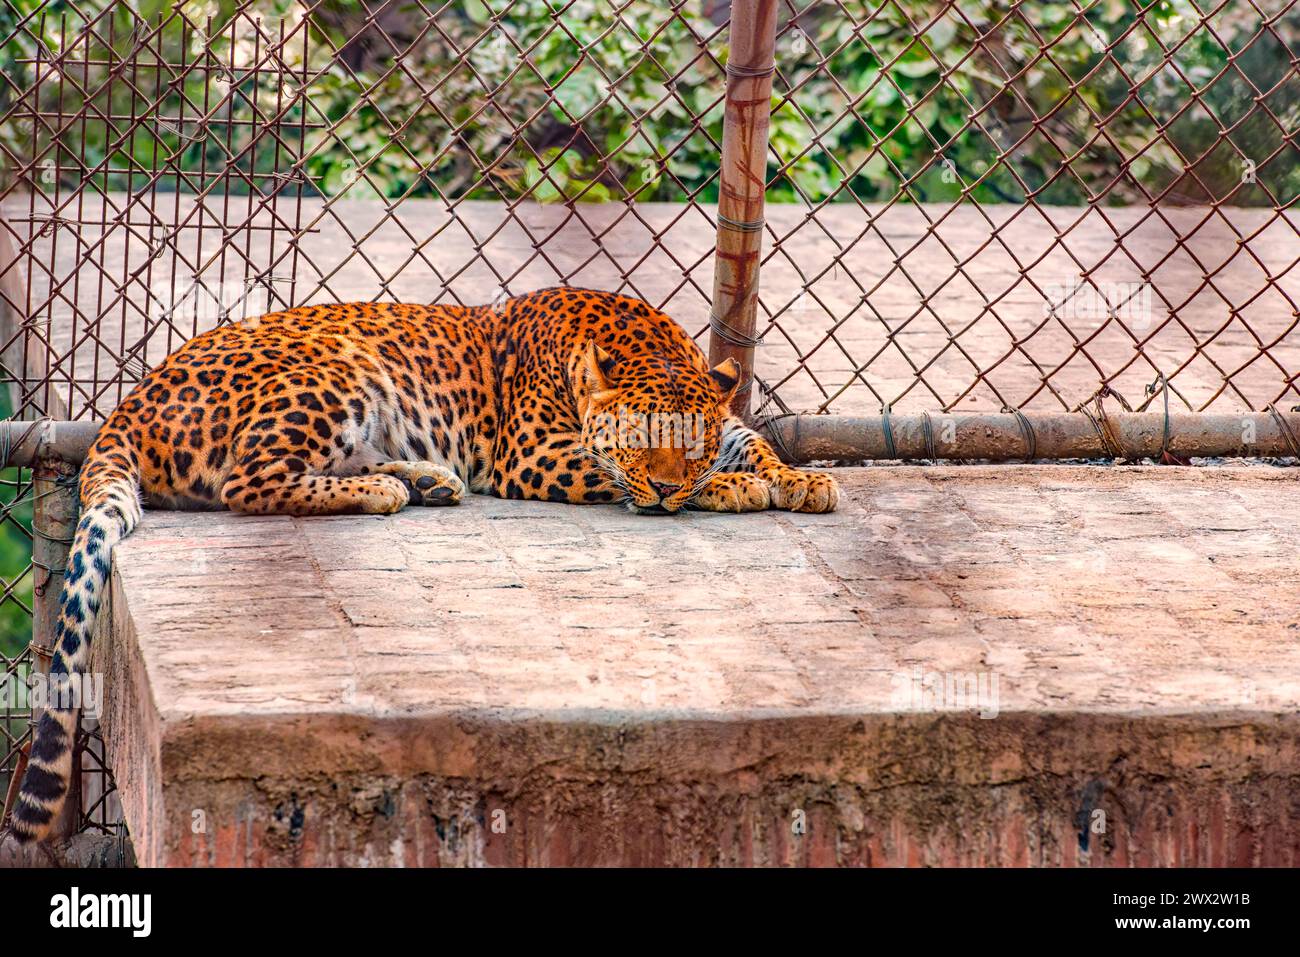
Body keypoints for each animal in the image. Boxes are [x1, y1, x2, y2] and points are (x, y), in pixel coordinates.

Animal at [6, 286, 837, 844]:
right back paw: (390, 489)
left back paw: (427, 478)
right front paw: (730, 488)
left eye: (687, 442)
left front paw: (797, 479)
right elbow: (628, 474)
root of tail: (125, 406)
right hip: (333, 370)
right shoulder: (533, 455)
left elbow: (749, 436)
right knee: (249, 480)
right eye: (639, 440)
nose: (668, 486)